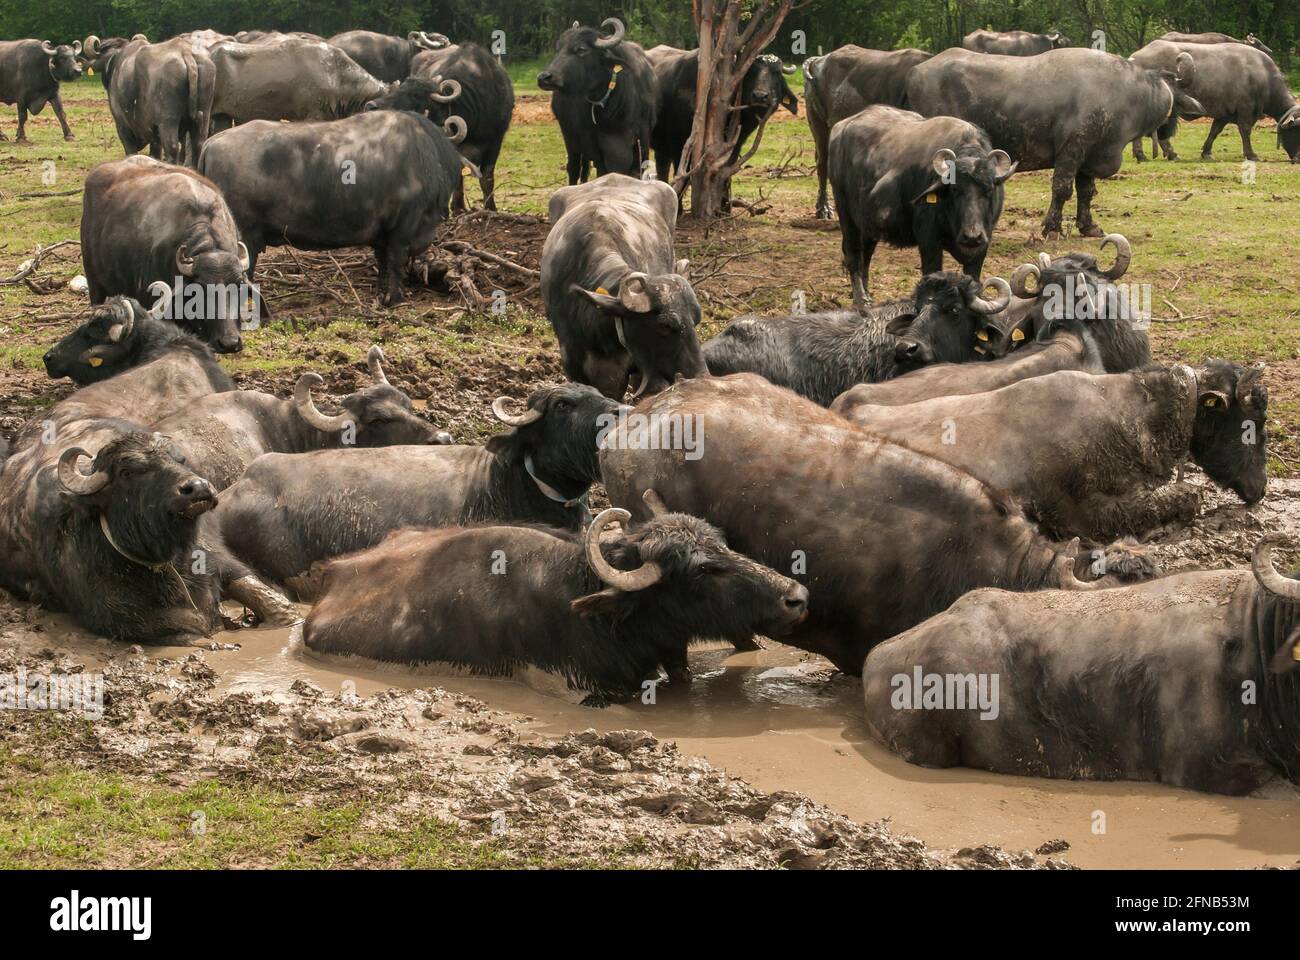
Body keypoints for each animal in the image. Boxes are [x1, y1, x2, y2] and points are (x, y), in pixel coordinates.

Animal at [537, 19, 656, 184]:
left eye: (581, 49)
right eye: (558, 49)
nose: (544, 77)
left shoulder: (643, 137)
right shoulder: (591, 141)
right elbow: (602, 171)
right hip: (569, 135)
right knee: (574, 167)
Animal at [829, 105, 1016, 303]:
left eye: (988, 190)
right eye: (955, 190)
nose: (971, 236)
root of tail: (841, 128)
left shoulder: (982, 244)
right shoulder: (929, 240)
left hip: (868, 226)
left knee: (866, 255)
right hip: (846, 214)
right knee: (854, 255)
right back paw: (861, 300)